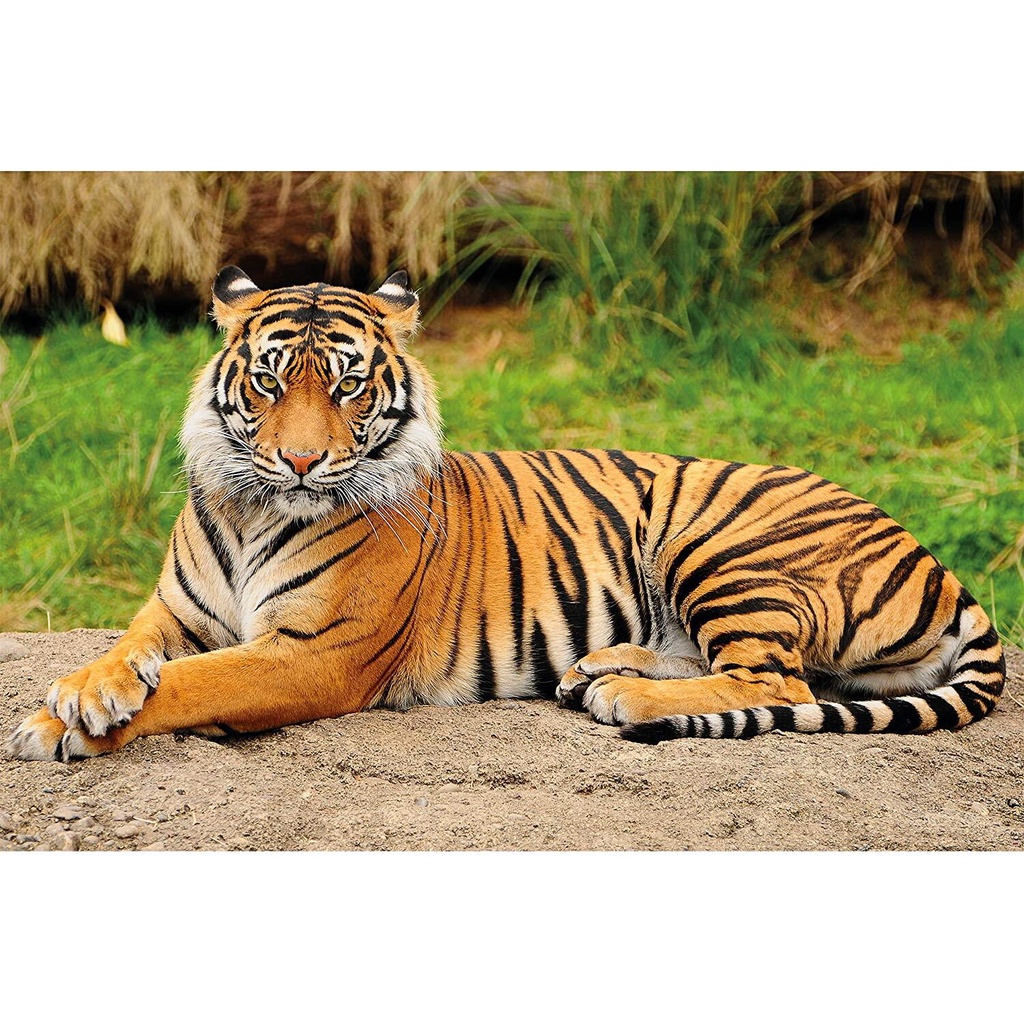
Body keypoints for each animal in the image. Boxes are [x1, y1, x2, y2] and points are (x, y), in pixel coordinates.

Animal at [7, 266, 1006, 761]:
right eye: (268, 381)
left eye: (348, 386)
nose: (299, 460)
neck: (256, 509)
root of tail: (935, 558)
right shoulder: (173, 611)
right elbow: (129, 652)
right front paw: (83, 691)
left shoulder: (313, 654)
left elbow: (194, 685)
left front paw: (62, 727)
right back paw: (598, 669)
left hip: (720, 542)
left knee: (781, 683)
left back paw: (625, 694)